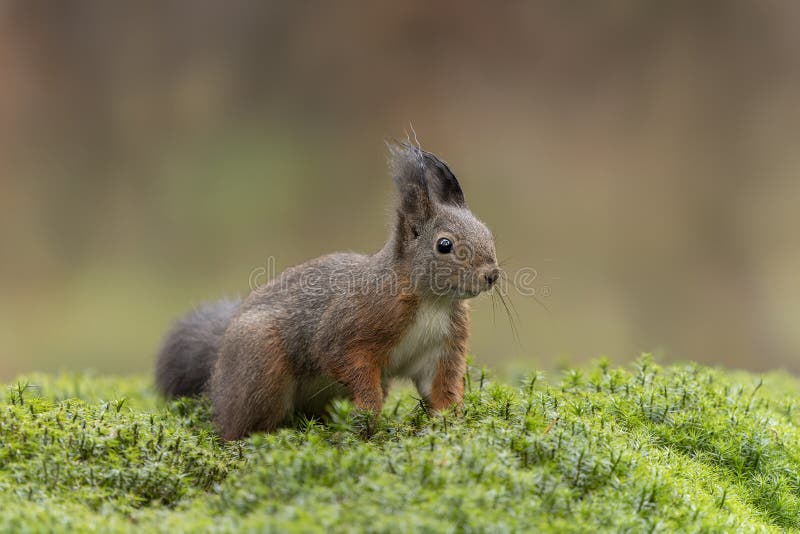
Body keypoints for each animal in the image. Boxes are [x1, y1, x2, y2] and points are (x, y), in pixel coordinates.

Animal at [155, 142, 499, 440]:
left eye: (487, 231)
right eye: (445, 245)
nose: (492, 275)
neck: (432, 301)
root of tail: (219, 362)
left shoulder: (440, 349)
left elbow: (441, 389)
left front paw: (450, 423)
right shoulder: (353, 323)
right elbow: (340, 356)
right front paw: (368, 409)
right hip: (261, 365)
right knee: (237, 424)